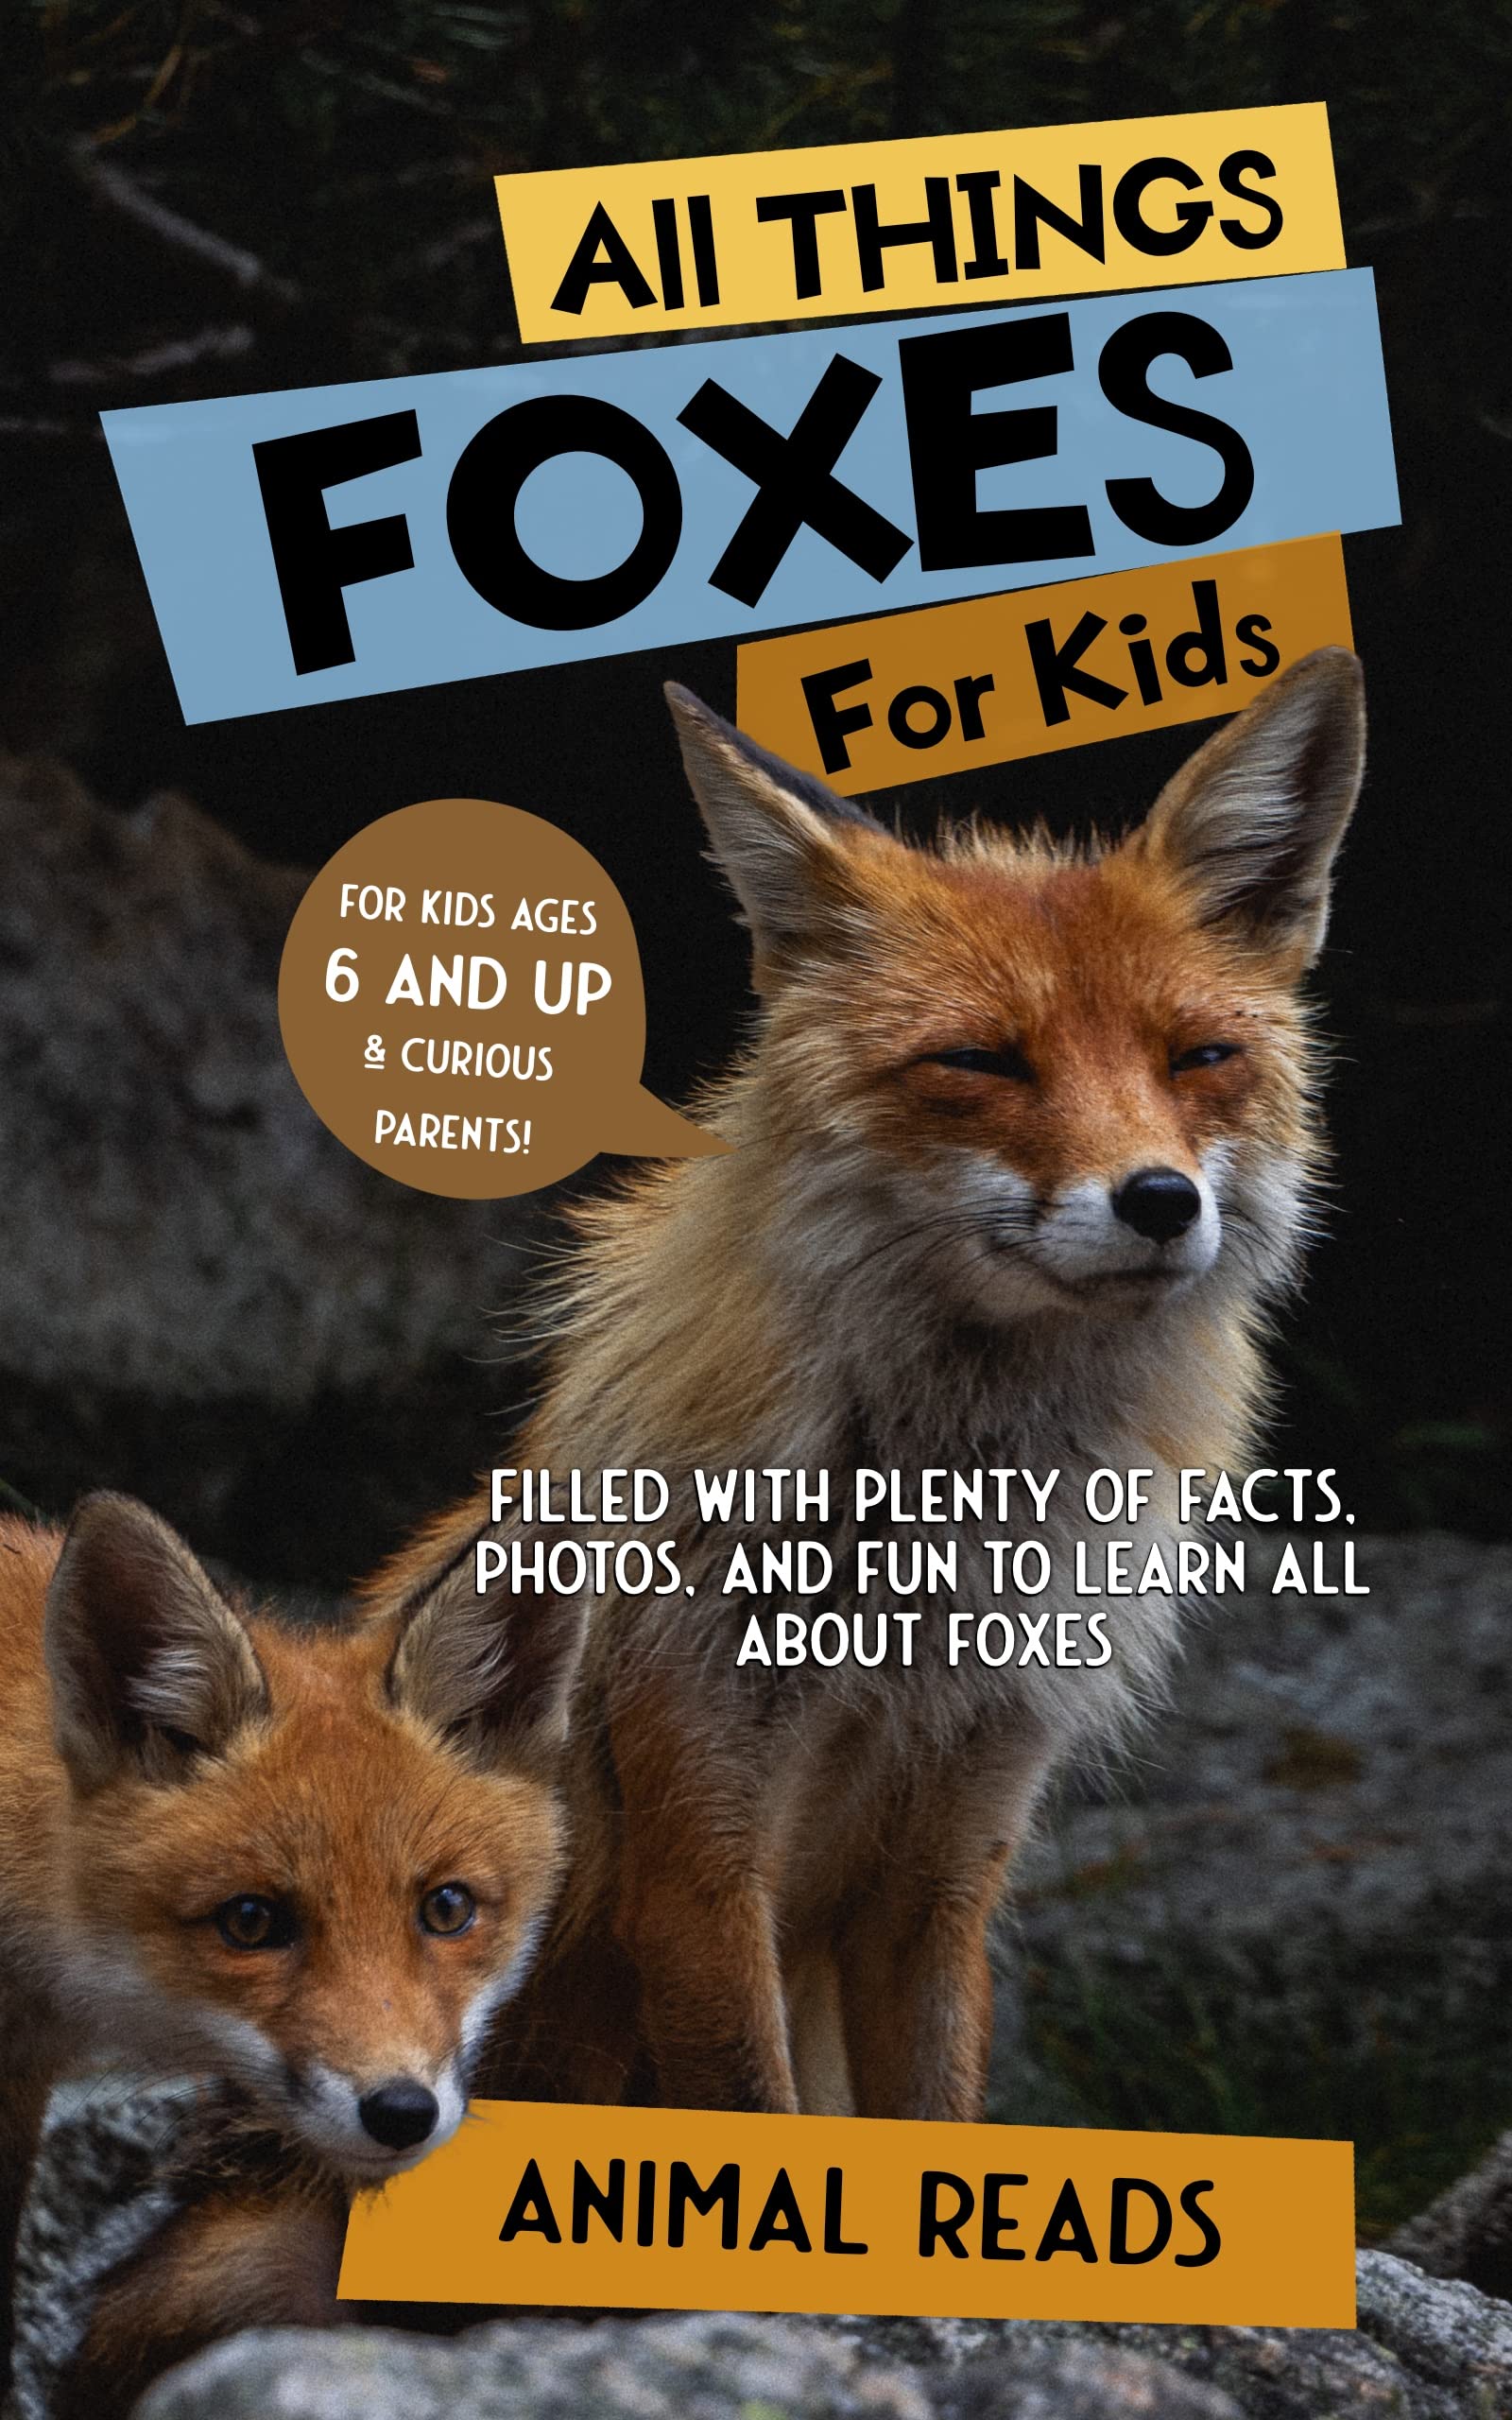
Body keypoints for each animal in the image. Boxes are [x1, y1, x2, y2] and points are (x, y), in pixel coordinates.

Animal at [371, 645, 1368, 2128]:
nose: (1158, 1201)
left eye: (1199, 1058)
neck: (922, 1581)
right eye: (982, 1061)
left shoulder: (949, 1862)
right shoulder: (701, 1856)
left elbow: (937, 2109)